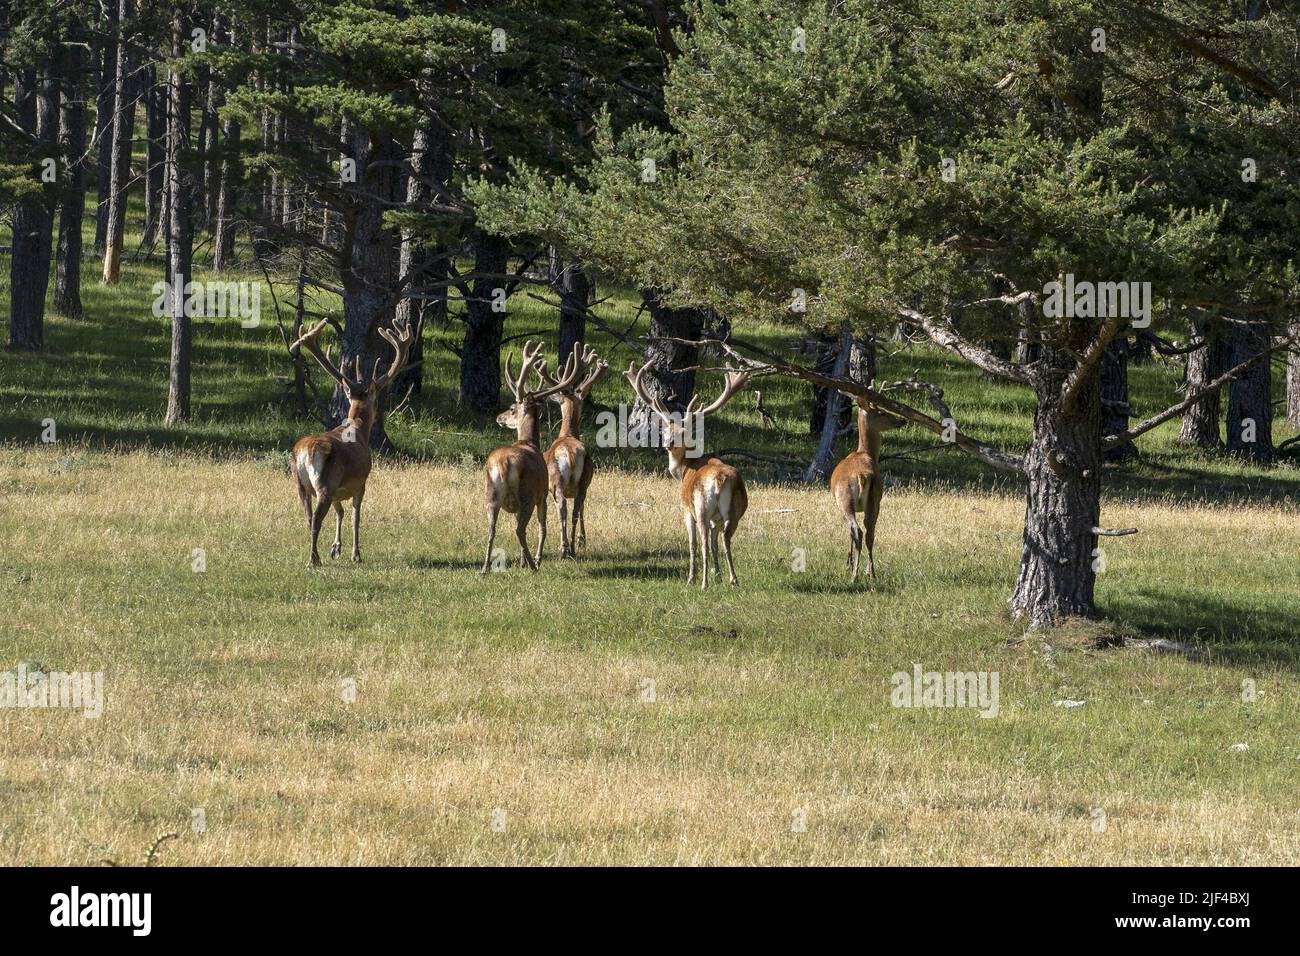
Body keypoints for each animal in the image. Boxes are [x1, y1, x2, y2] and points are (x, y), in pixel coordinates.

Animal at [289, 317, 414, 567]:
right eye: (375, 398)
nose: (379, 412)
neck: (358, 430)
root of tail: (305, 451)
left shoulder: (339, 490)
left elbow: (341, 512)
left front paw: (336, 548)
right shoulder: (361, 481)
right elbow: (356, 515)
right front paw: (356, 553)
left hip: (300, 484)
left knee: (308, 517)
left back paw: (315, 554)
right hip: (326, 482)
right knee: (316, 520)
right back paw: (313, 560)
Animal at [482, 341, 582, 573]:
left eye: (511, 408)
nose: (498, 417)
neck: (529, 442)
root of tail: (503, 464)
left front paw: (521, 560)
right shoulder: (543, 494)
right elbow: (543, 528)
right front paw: (536, 559)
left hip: (491, 493)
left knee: (492, 529)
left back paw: (485, 568)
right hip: (527, 493)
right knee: (520, 528)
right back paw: (533, 565)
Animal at [535, 342, 609, 558]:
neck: (567, 434)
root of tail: (571, 455)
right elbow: (583, 508)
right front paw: (583, 540)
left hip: (557, 480)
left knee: (563, 508)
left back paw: (564, 548)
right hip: (584, 479)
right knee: (577, 508)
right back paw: (573, 548)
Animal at [625, 359, 751, 588]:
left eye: (684, 433)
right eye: (665, 429)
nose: (667, 443)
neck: (683, 470)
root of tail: (720, 479)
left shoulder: (685, 509)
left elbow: (692, 543)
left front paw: (693, 577)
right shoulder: (717, 520)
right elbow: (715, 544)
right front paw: (718, 576)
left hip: (701, 508)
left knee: (702, 543)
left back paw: (702, 583)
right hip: (735, 512)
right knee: (725, 540)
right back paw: (733, 580)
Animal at [830, 397, 904, 581]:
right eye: (882, 412)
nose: (902, 420)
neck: (866, 453)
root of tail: (862, 476)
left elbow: (849, 532)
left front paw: (848, 564)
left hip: (845, 499)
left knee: (858, 530)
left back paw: (855, 575)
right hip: (875, 498)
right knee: (870, 531)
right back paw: (871, 573)